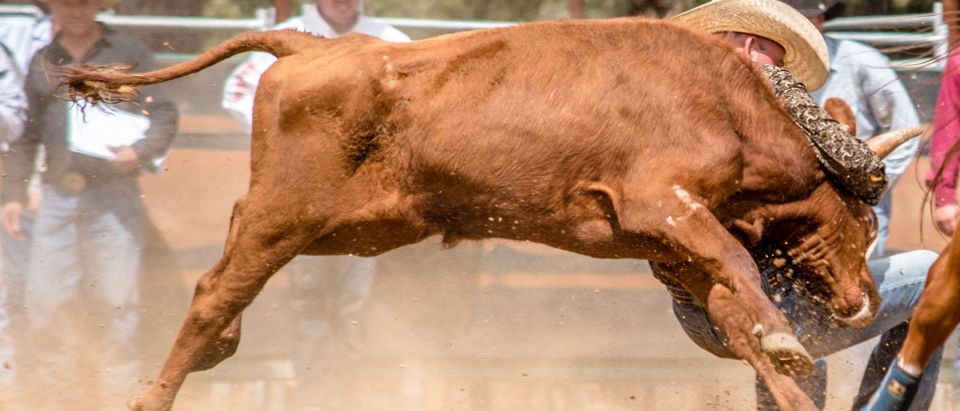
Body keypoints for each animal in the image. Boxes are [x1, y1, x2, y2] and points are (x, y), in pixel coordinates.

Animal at [56, 17, 916, 411]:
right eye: (867, 221)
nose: (859, 301)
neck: (729, 105)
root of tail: (313, 46)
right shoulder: (665, 203)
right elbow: (744, 277)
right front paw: (787, 336)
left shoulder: (675, 248)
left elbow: (742, 317)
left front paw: (785, 359)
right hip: (288, 213)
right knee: (213, 289)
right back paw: (156, 391)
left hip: (346, 223)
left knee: (228, 252)